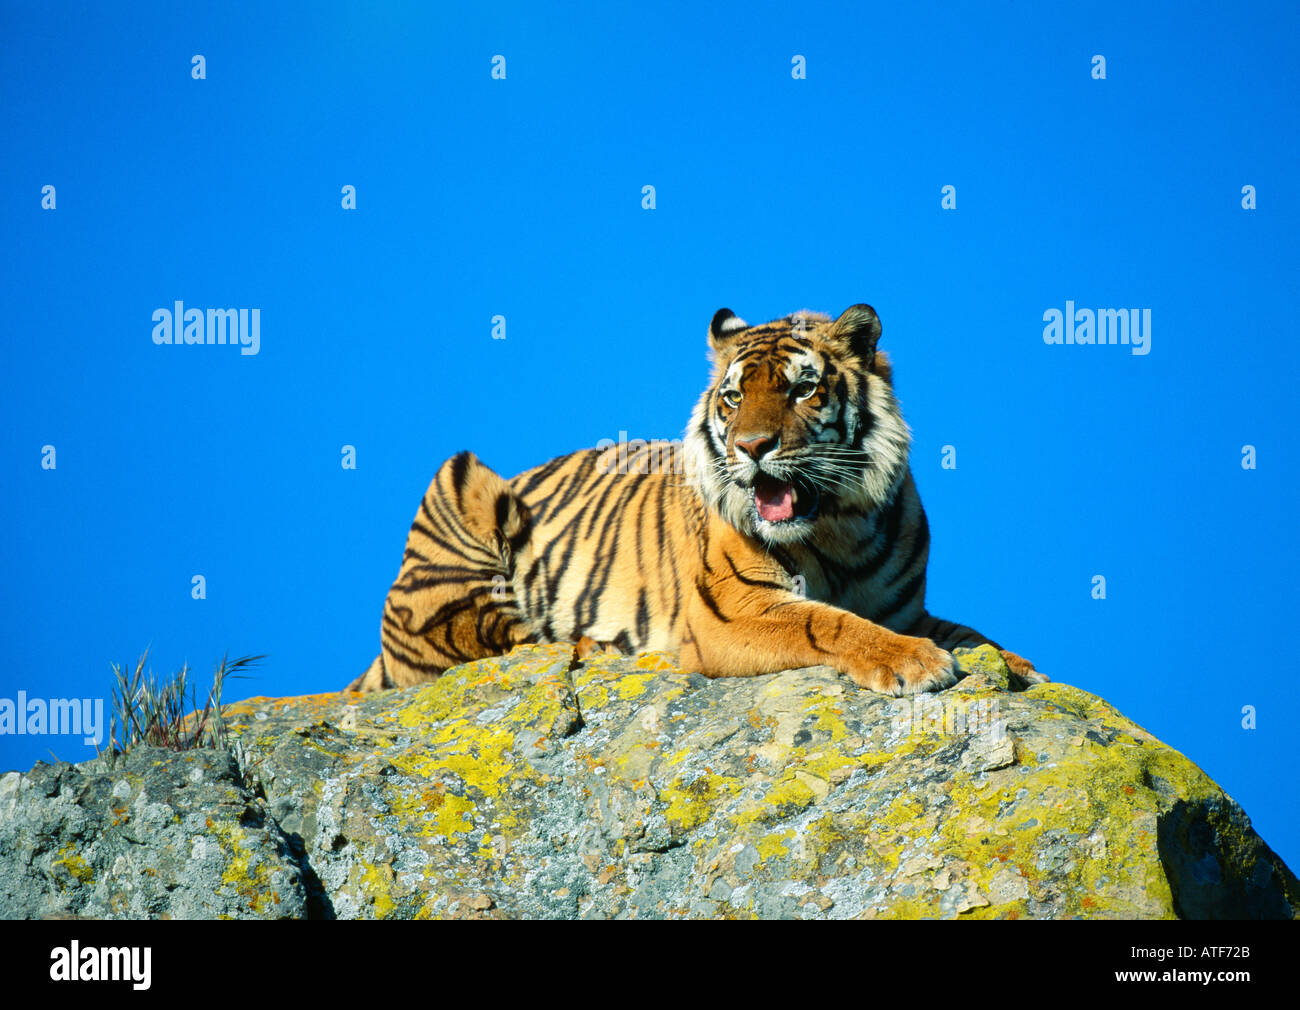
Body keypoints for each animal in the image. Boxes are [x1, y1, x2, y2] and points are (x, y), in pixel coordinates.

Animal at [348, 303, 1045, 695]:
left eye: (803, 389)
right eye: (733, 397)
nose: (752, 446)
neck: (837, 529)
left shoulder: (907, 607)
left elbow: (970, 631)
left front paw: (1018, 665)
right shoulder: (731, 612)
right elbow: (828, 621)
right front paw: (912, 662)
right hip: (457, 482)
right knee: (485, 636)